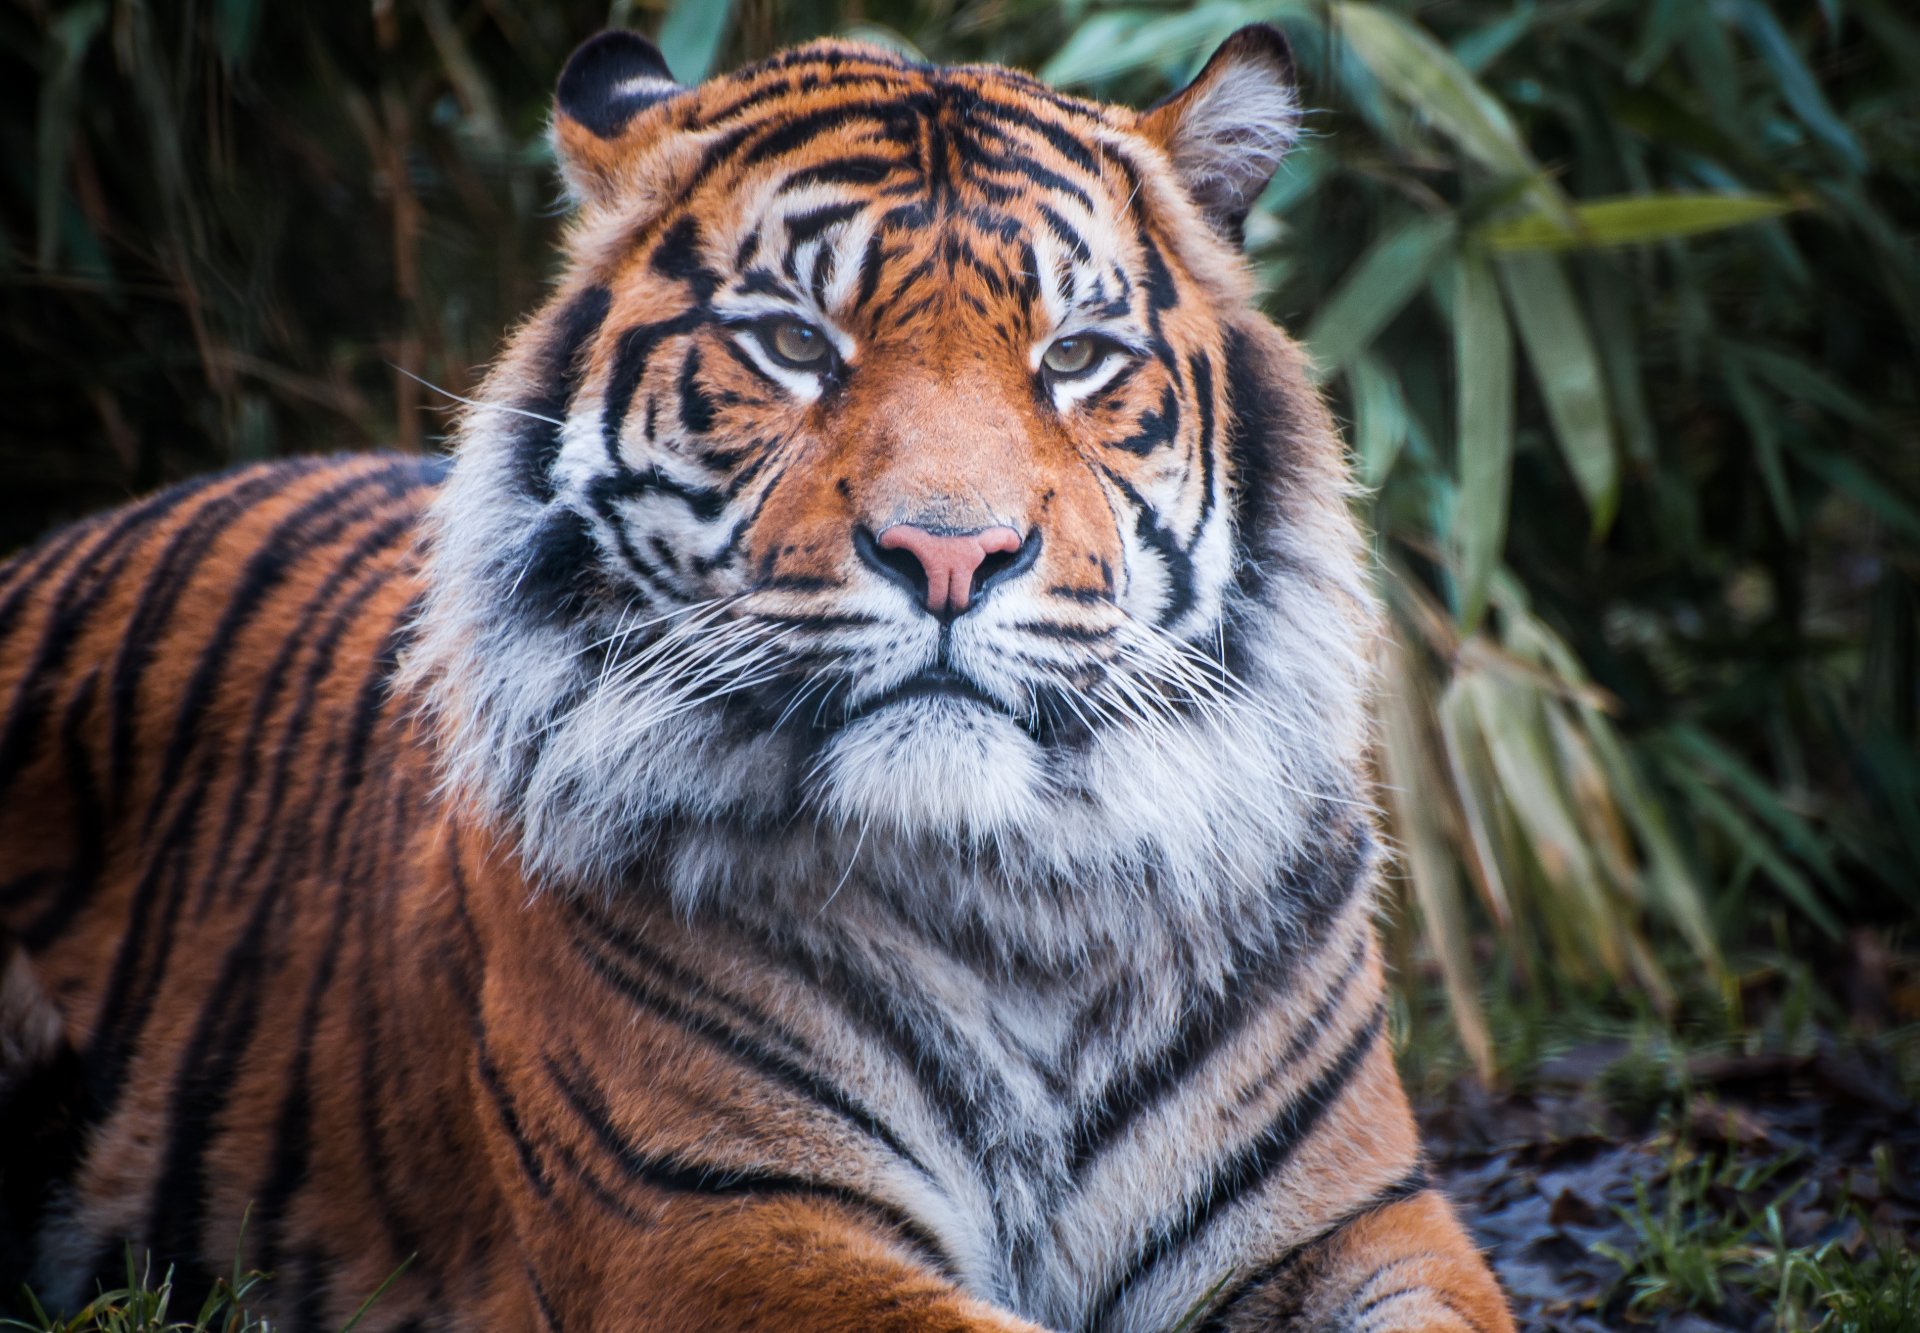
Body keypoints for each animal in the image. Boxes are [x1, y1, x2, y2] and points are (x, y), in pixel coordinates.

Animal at [0, 23, 1513, 1333]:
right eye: (794, 343)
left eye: (1075, 357)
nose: (951, 551)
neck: (1019, 907)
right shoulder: (718, 1225)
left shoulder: (1357, 1218)